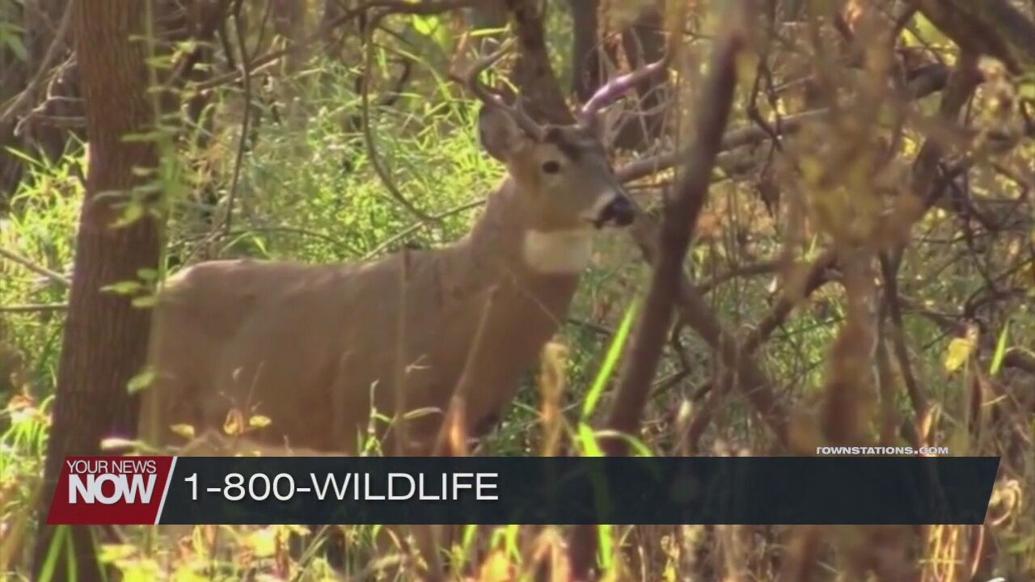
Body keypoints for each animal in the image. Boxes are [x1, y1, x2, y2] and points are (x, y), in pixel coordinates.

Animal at [137, 45, 665, 459]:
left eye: (607, 158)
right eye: (550, 165)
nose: (620, 206)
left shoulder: (464, 435)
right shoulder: (368, 416)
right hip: (162, 415)